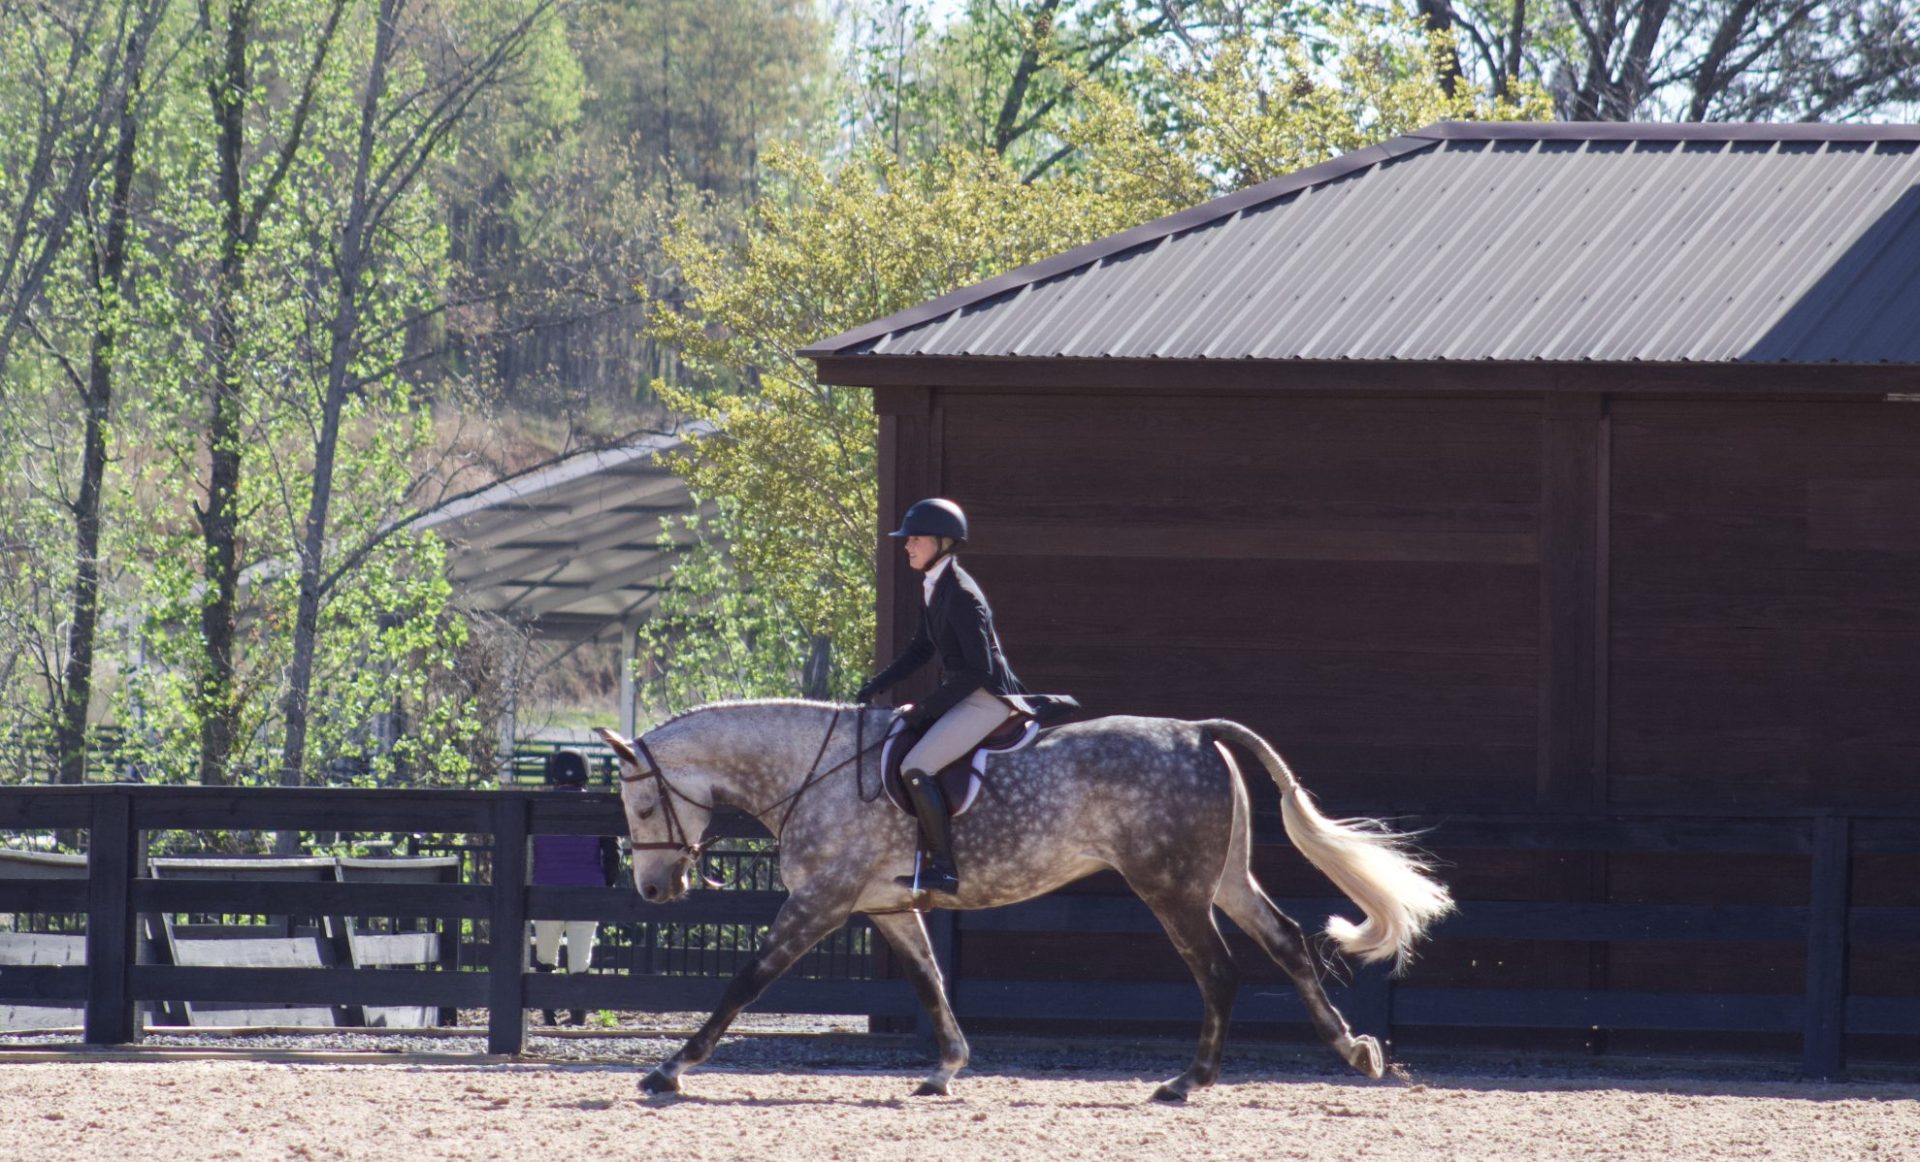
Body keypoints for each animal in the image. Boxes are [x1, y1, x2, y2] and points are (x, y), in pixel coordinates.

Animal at [595, 699, 1453, 1102]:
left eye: (638, 806)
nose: (655, 890)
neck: (814, 772)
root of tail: (1195, 730)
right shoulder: (884, 906)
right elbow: (929, 984)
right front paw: (947, 1068)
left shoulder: (822, 901)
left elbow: (747, 982)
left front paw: (670, 1068)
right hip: (1223, 879)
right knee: (1285, 944)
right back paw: (1355, 1050)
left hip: (1170, 887)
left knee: (1219, 972)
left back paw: (1188, 1082)